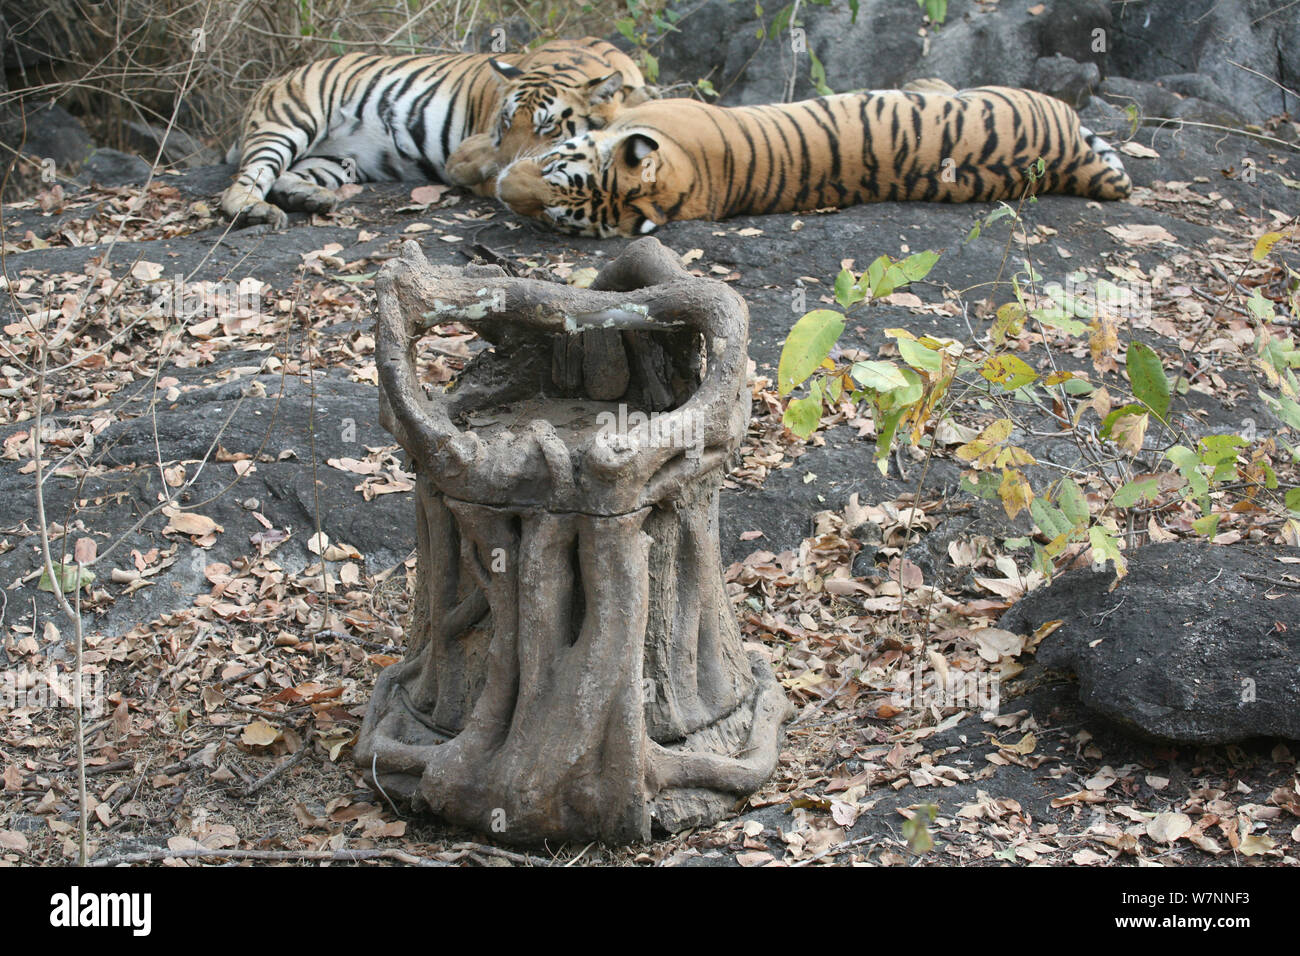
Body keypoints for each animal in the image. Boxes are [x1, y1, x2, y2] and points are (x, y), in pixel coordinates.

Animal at [220, 38, 649, 228]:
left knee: (286, 176)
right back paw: (255, 208)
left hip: (336, 159)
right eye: (505, 122)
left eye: (547, 127)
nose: (504, 173)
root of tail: (274, 79)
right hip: (290, 119)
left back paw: (309, 197)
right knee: (245, 182)